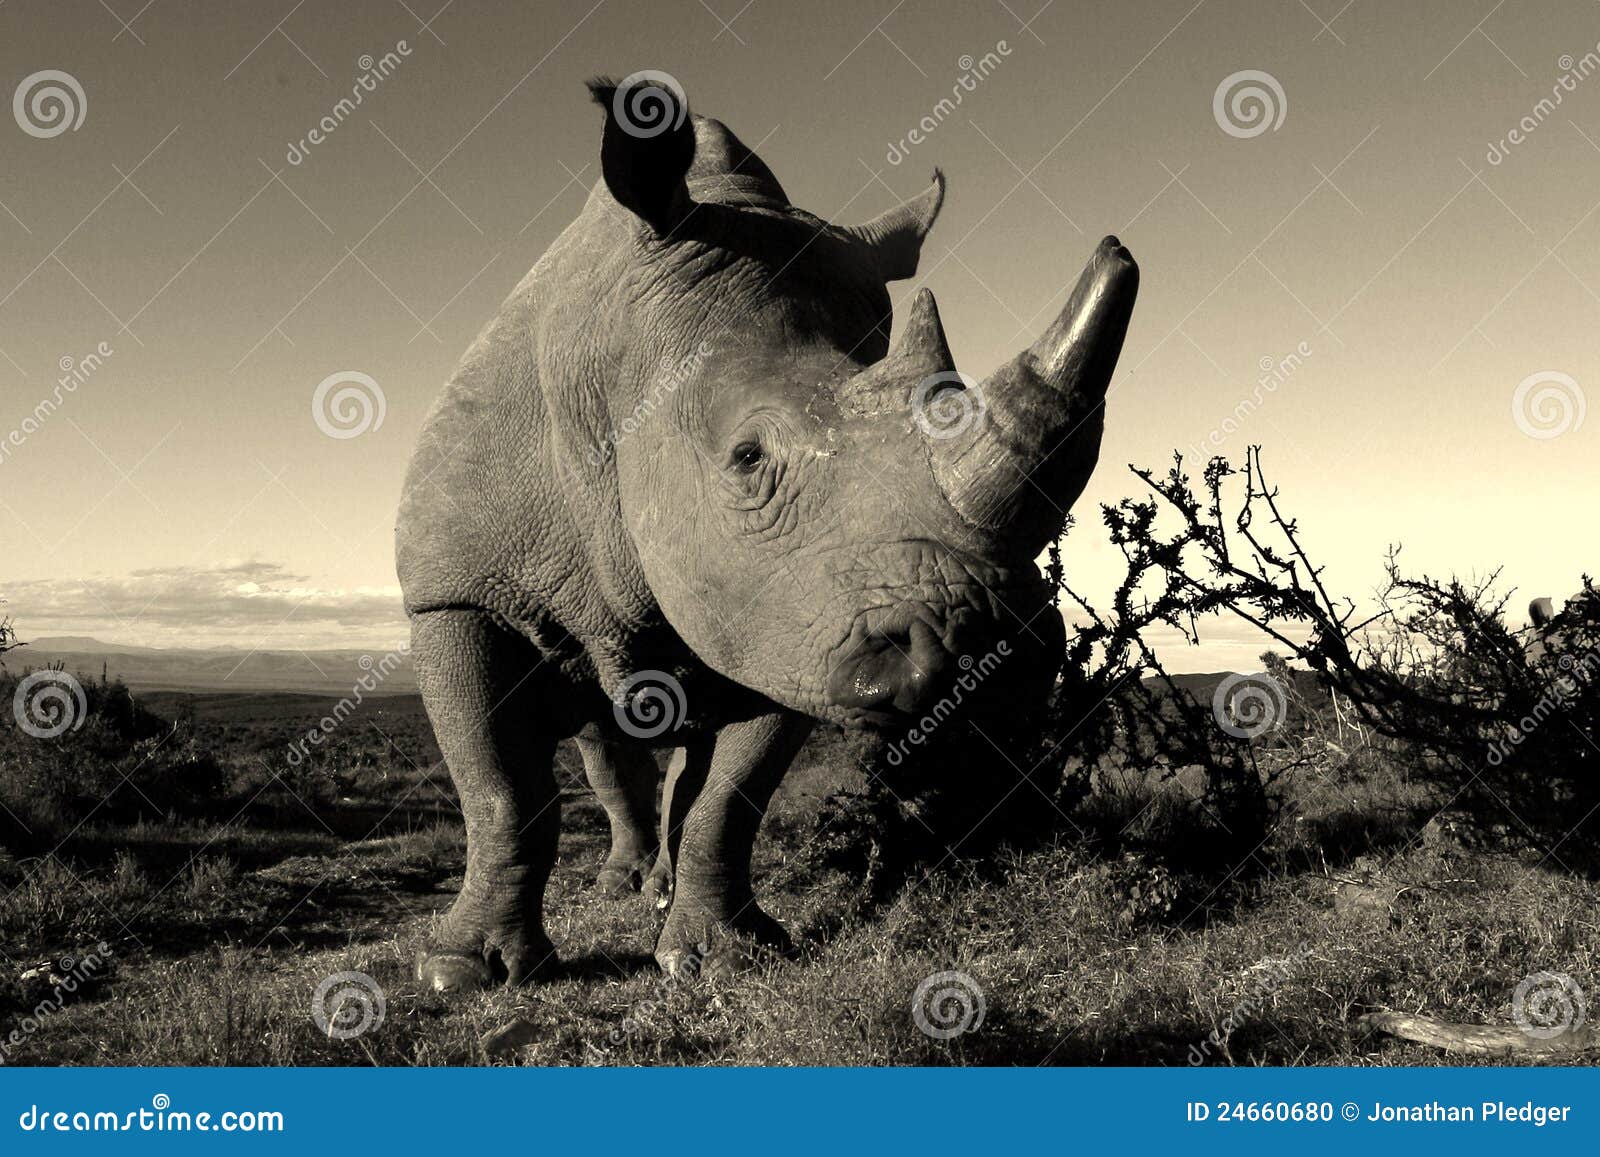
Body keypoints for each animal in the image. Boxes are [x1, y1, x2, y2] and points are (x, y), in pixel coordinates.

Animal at [395, 74, 1139, 989]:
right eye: (747, 457)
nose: (982, 649)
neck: (611, 366)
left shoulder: (788, 610)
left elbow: (733, 795)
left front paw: (721, 958)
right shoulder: (457, 590)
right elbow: (501, 787)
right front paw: (462, 972)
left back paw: (657, 890)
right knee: (599, 740)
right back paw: (622, 883)